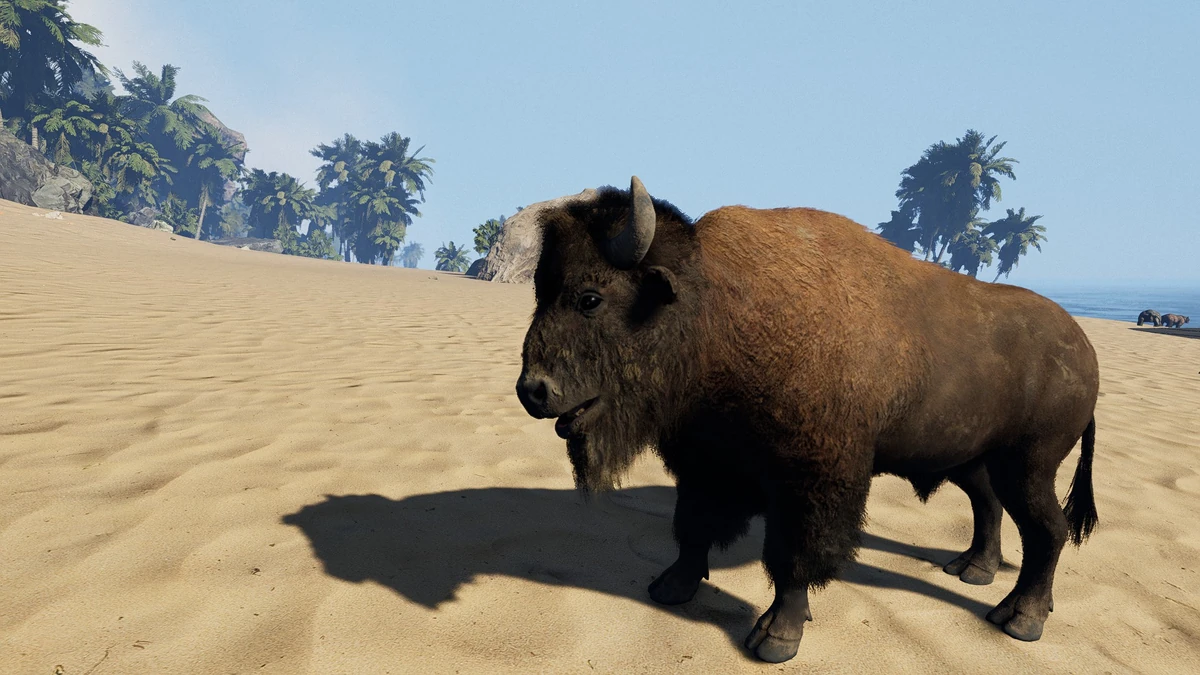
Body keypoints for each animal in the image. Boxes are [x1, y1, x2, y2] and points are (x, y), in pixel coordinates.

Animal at [515, 177, 1100, 663]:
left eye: (591, 298)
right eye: (540, 290)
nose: (532, 391)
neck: (718, 311)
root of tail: (1084, 346)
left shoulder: (810, 481)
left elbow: (792, 556)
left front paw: (776, 638)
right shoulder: (706, 462)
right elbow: (693, 527)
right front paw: (671, 588)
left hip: (1028, 466)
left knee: (1048, 530)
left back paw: (1019, 619)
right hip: (971, 458)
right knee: (988, 506)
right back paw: (972, 570)